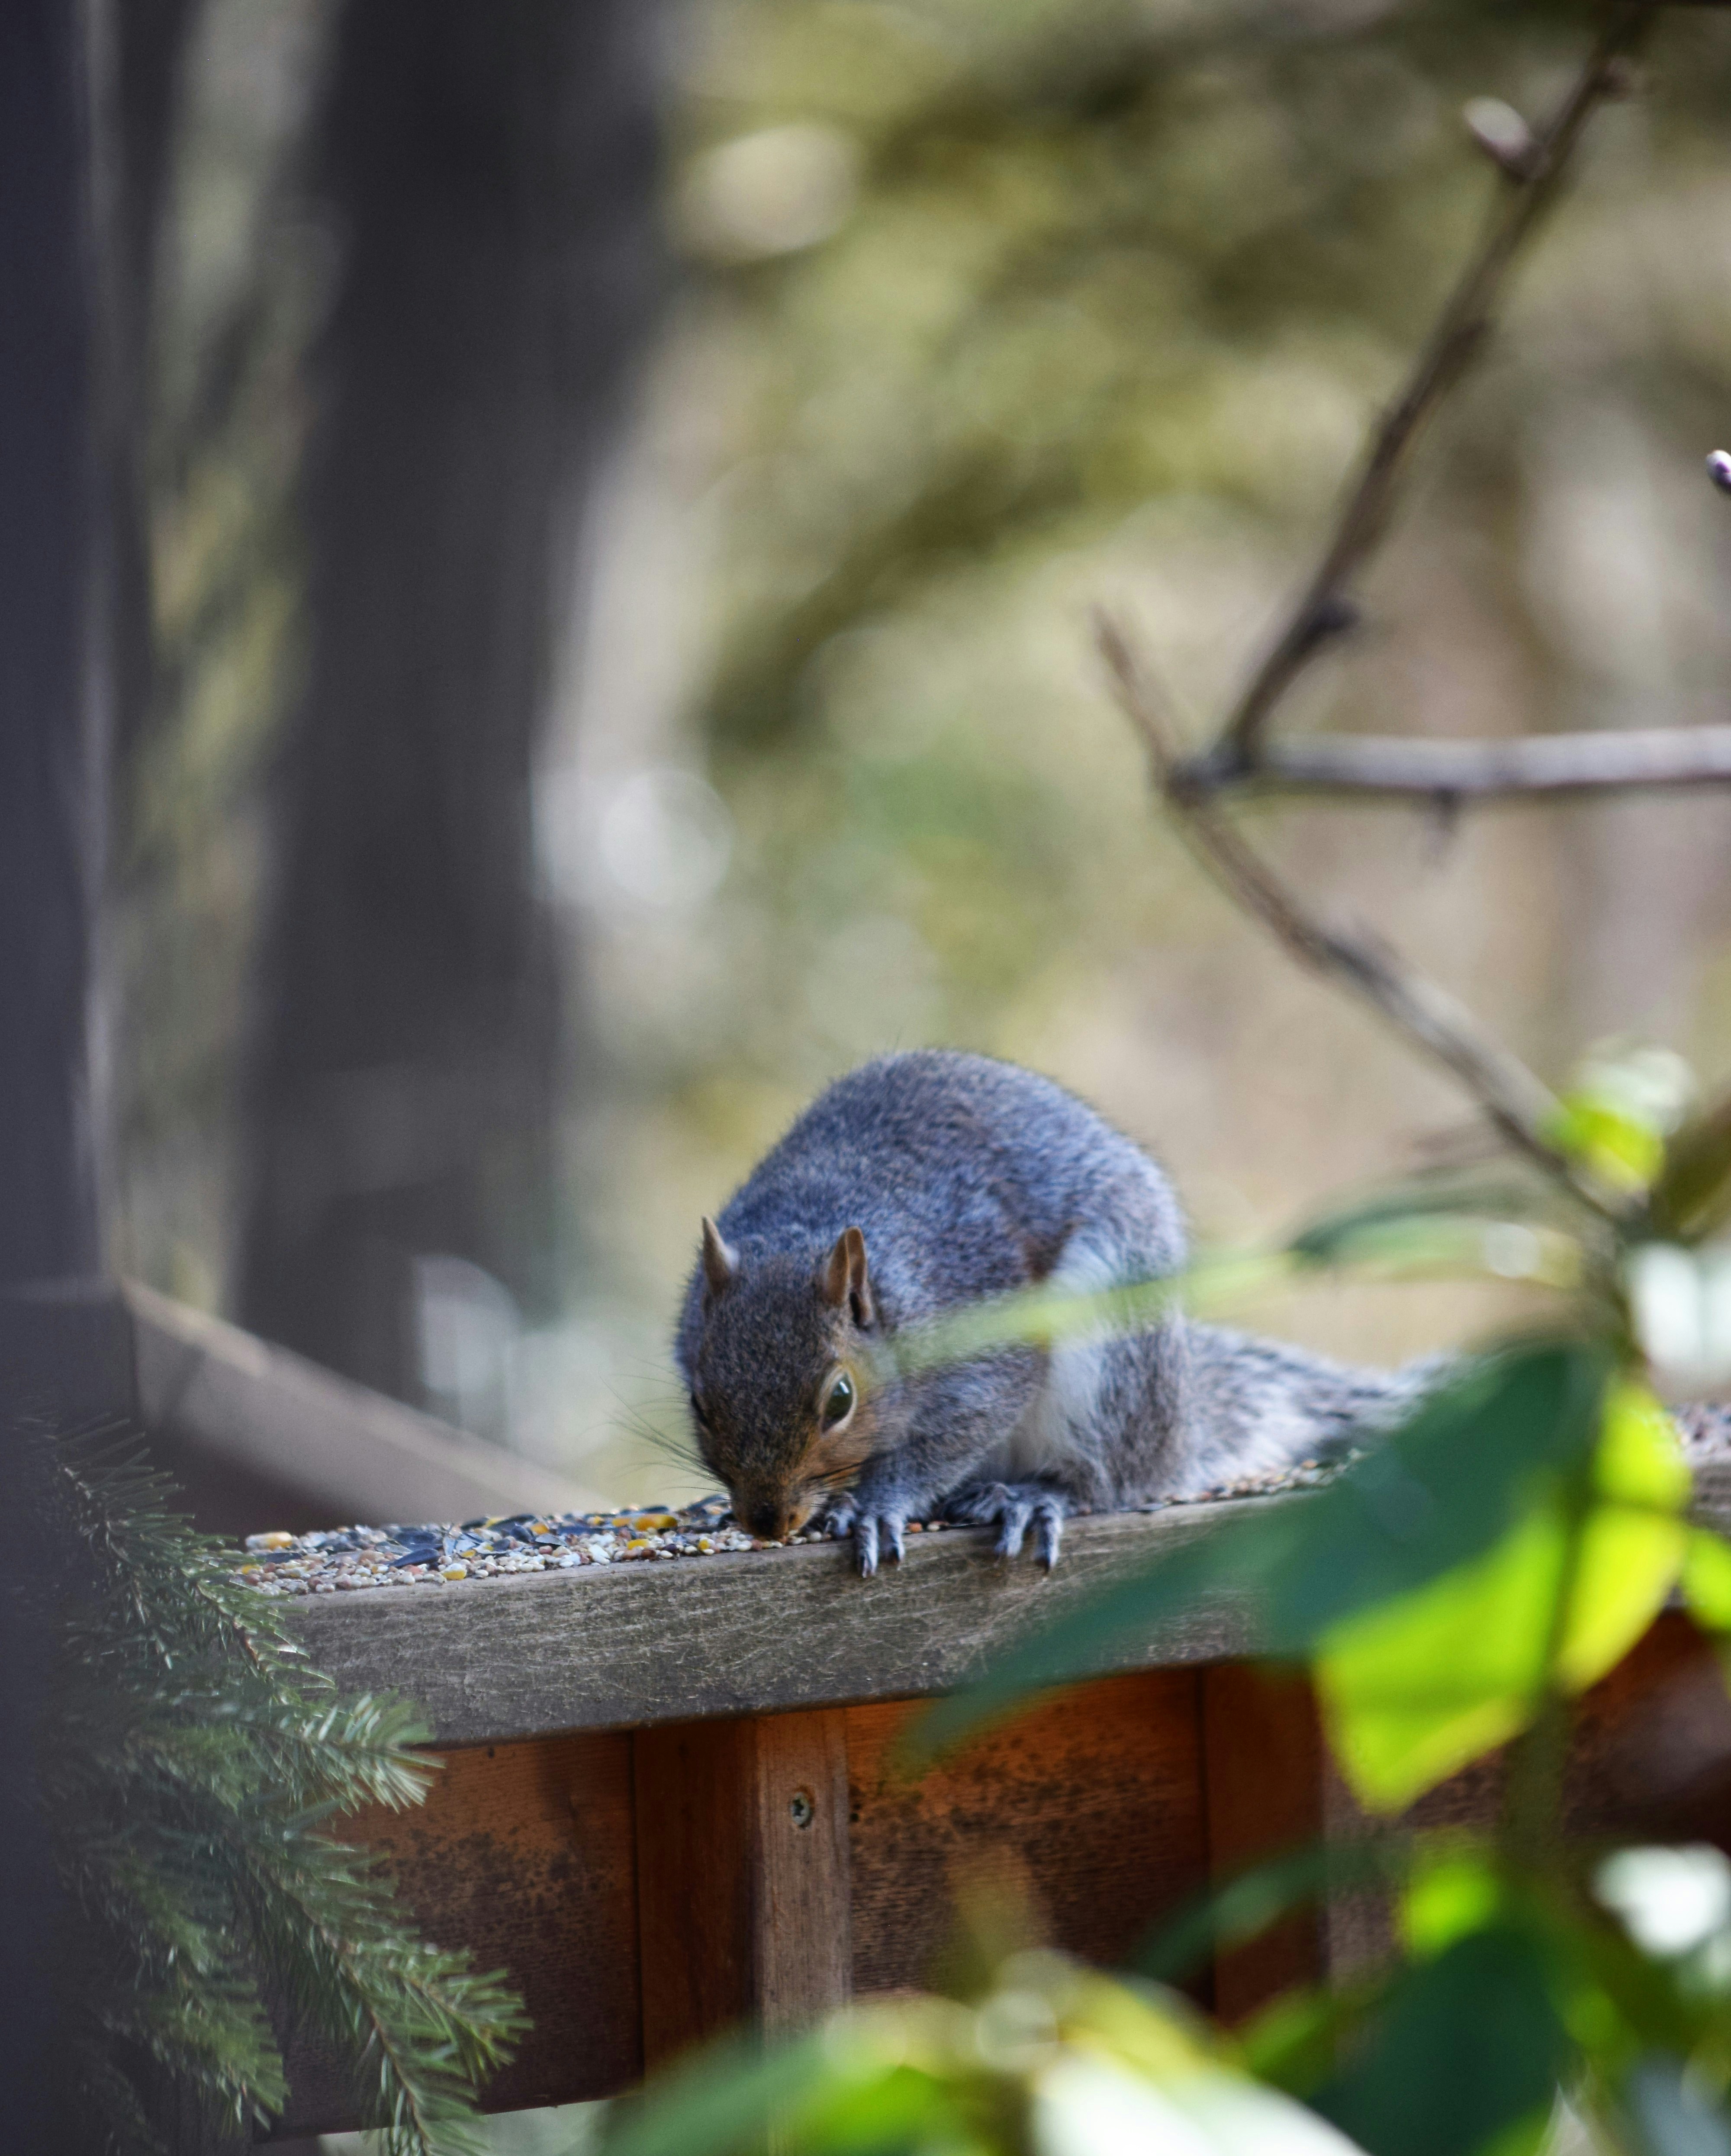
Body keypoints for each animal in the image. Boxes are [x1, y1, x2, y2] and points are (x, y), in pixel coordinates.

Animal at [676, 1048, 1437, 1576]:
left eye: (841, 1398)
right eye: (700, 1403)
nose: (767, 1521)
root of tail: (1174, 1437)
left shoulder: (982, 1332)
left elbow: (950, 1434)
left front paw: (875, 1505)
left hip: (1111, 1355)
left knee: (1104, 1481)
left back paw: (1030, 1496)